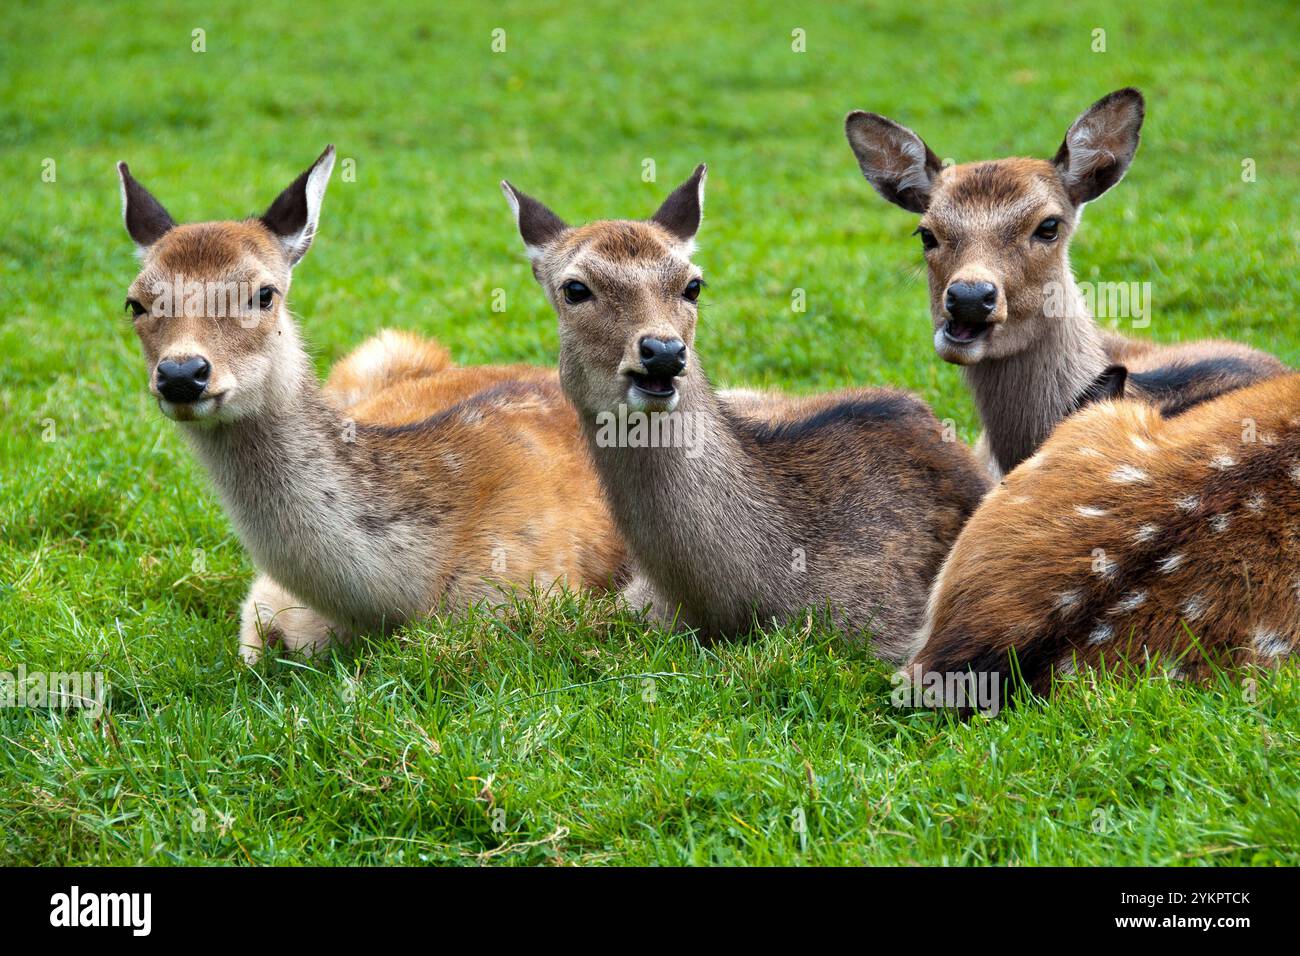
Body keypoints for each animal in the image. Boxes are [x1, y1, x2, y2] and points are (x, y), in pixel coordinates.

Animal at [117, 146, 625, 664]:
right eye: (135, 303)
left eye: (263, 293)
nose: (182, 374)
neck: (389, 604)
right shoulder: (261, 601)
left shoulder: (537, 592)